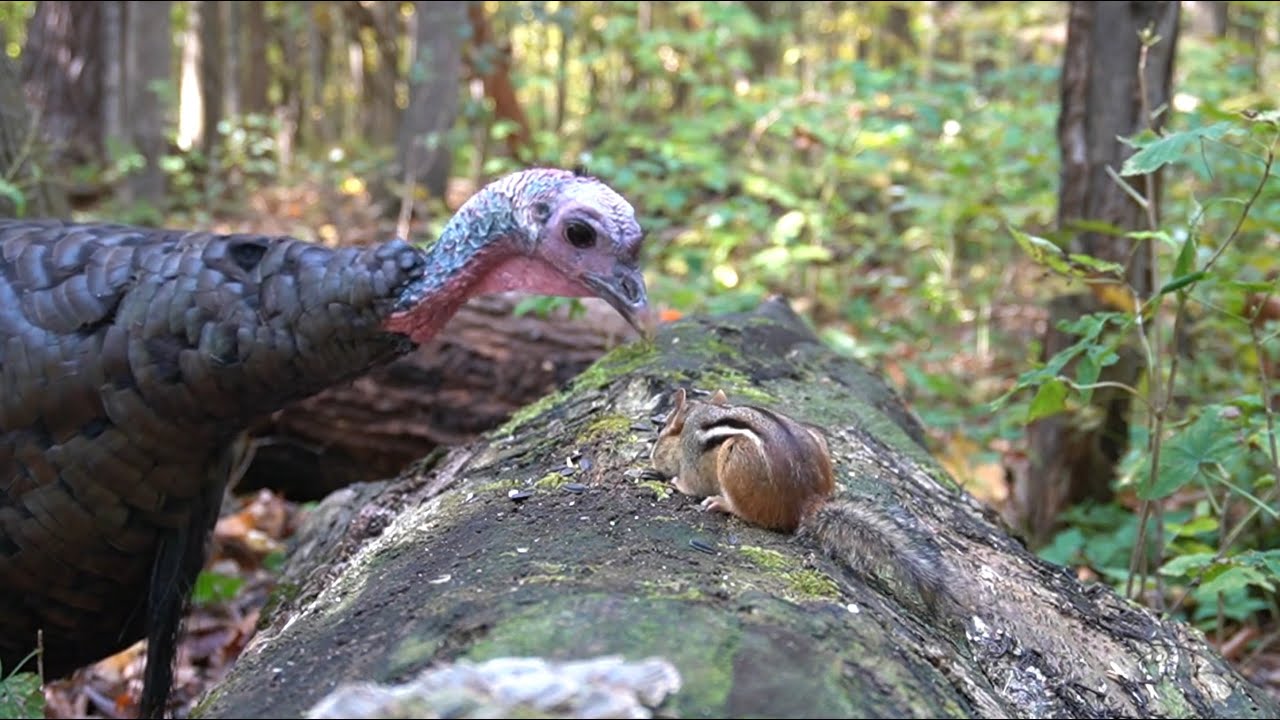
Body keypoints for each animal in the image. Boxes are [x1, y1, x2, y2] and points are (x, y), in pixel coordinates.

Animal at [650, 387, 952, 615]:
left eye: (660, 430)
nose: (652, 456)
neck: (694, 419)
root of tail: (808, 503)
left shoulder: (692, 462)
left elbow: (690, 484)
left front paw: (674, 482)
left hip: (735, 458)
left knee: (749, 513)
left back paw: (720, 503)